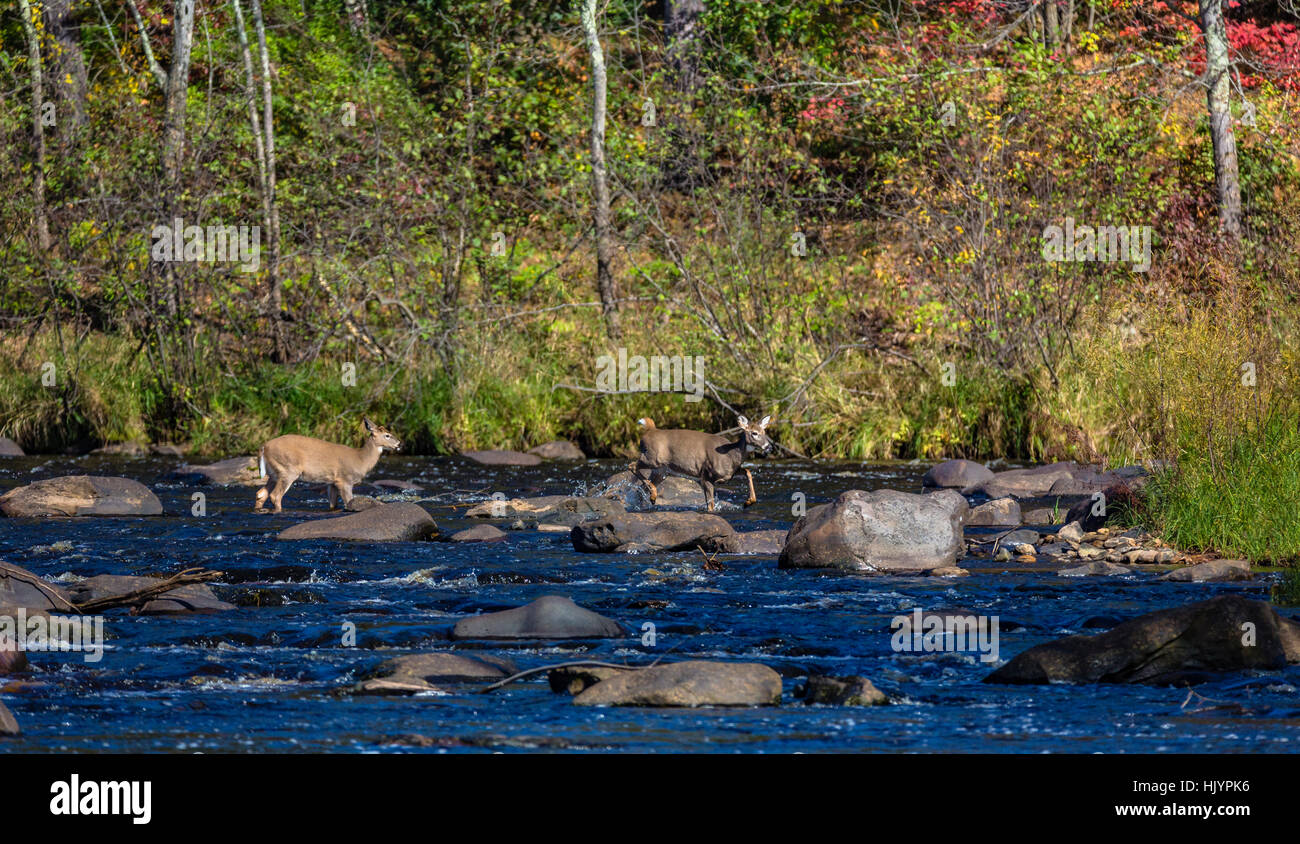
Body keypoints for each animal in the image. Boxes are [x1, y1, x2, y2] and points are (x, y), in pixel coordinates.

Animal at [254, 418, 401, 513]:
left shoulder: (332, 482)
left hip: (274, 473)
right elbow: (349, 502)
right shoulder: (345, 480)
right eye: (387, 435)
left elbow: (333, 505)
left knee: (261, 494)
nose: (399, 443)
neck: (361, 459)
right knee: (275, 496)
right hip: (288, 470)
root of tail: (263, 447)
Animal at [630, 414, 772, 512]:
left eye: (764, 432)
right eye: (754, 433)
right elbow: (711, 505)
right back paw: (652, 496)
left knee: (640, 488)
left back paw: (649, 500)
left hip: (661, 471)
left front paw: (748, 502)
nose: (769, 446)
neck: (730, 455)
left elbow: (748, 471)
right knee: (632, 466)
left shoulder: (731, 473)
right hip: (652, 459)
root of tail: (650, 430)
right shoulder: (707, 475)